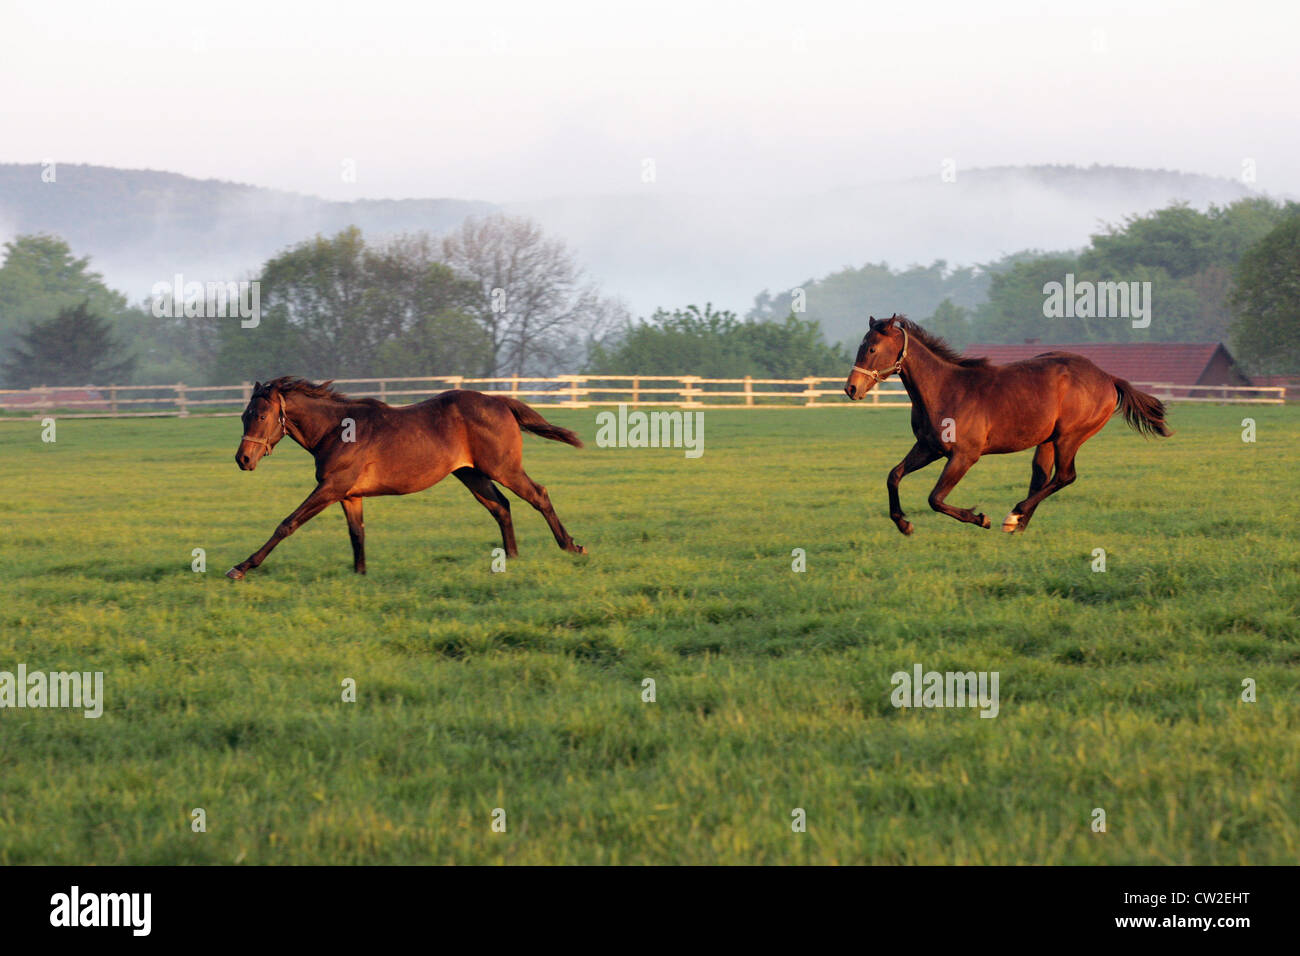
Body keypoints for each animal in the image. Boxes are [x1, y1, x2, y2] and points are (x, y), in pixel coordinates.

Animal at [226, 377, 586, 579]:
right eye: (243, 415)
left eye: (260, 415)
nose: (243, 459)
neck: (336, 430)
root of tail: (499, 401)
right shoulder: (350, 494)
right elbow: (357, 533)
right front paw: (360, 573)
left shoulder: (331, 487)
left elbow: (287, 523)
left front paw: (240, 567)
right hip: (470, 473)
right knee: (500, 506)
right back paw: (511, 557)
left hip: (503, 468)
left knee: (538, 494)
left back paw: (570, 546)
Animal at [843, 315, 1171, 535]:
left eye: (871, 349)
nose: (851, 388)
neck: (944, 389)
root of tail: (1107, 377)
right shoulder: (929, 447)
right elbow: (894, 475)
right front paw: (903, 523)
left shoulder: (964, 456)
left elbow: (935, 498)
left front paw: (980, 518)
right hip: (1048, 439)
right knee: (1042, 476)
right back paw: (1019, 523)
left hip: (1070, 437)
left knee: (1065, 476)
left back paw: (1014, 515)